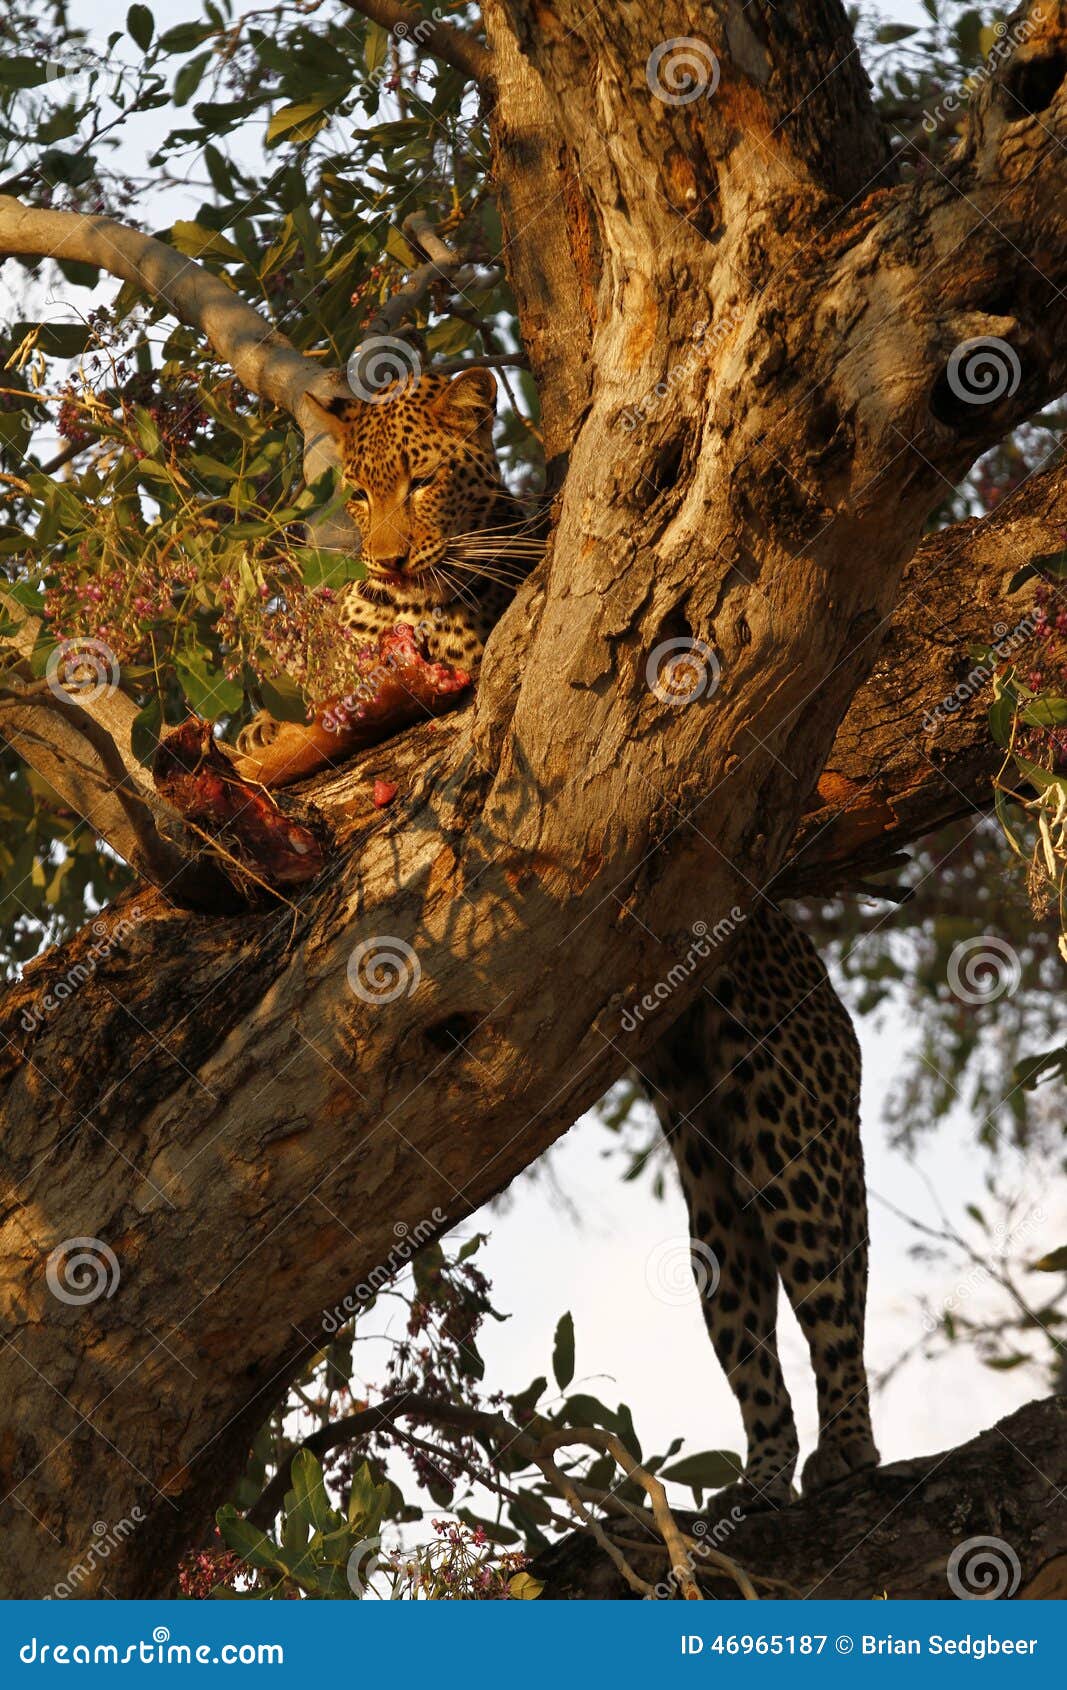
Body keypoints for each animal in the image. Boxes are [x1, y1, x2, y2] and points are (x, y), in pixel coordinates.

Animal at [234, 363, 879, 1514]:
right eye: (359, 492)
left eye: (422, 483)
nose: (387, 557)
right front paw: (254, 741)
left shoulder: (445, 671)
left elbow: (350, 714)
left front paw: (264, 745)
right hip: (711, 1185)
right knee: (747, 1323)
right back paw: (759, 1481)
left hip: (789, 1116)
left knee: (831, 1292)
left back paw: (846, 1451)